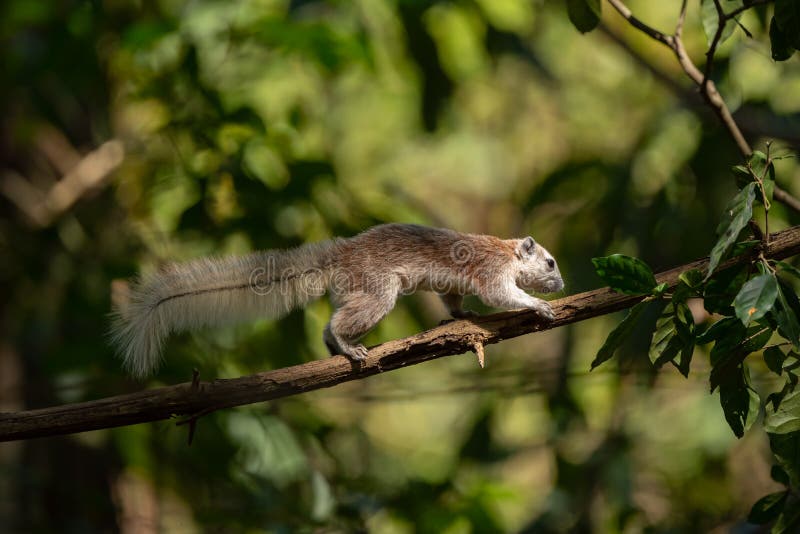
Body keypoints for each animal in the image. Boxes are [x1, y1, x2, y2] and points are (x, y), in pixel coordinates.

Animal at [110, 223, 564, 377]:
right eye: (550, 262)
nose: (561, 284)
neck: (507, 251)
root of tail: (339, 255)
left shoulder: (455, 285)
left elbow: (453, 300)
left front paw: (464, 313)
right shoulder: (492, 273)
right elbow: (502, 294)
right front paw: (537, 305)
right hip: (378, 291)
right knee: (336, 324)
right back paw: (346, 346)